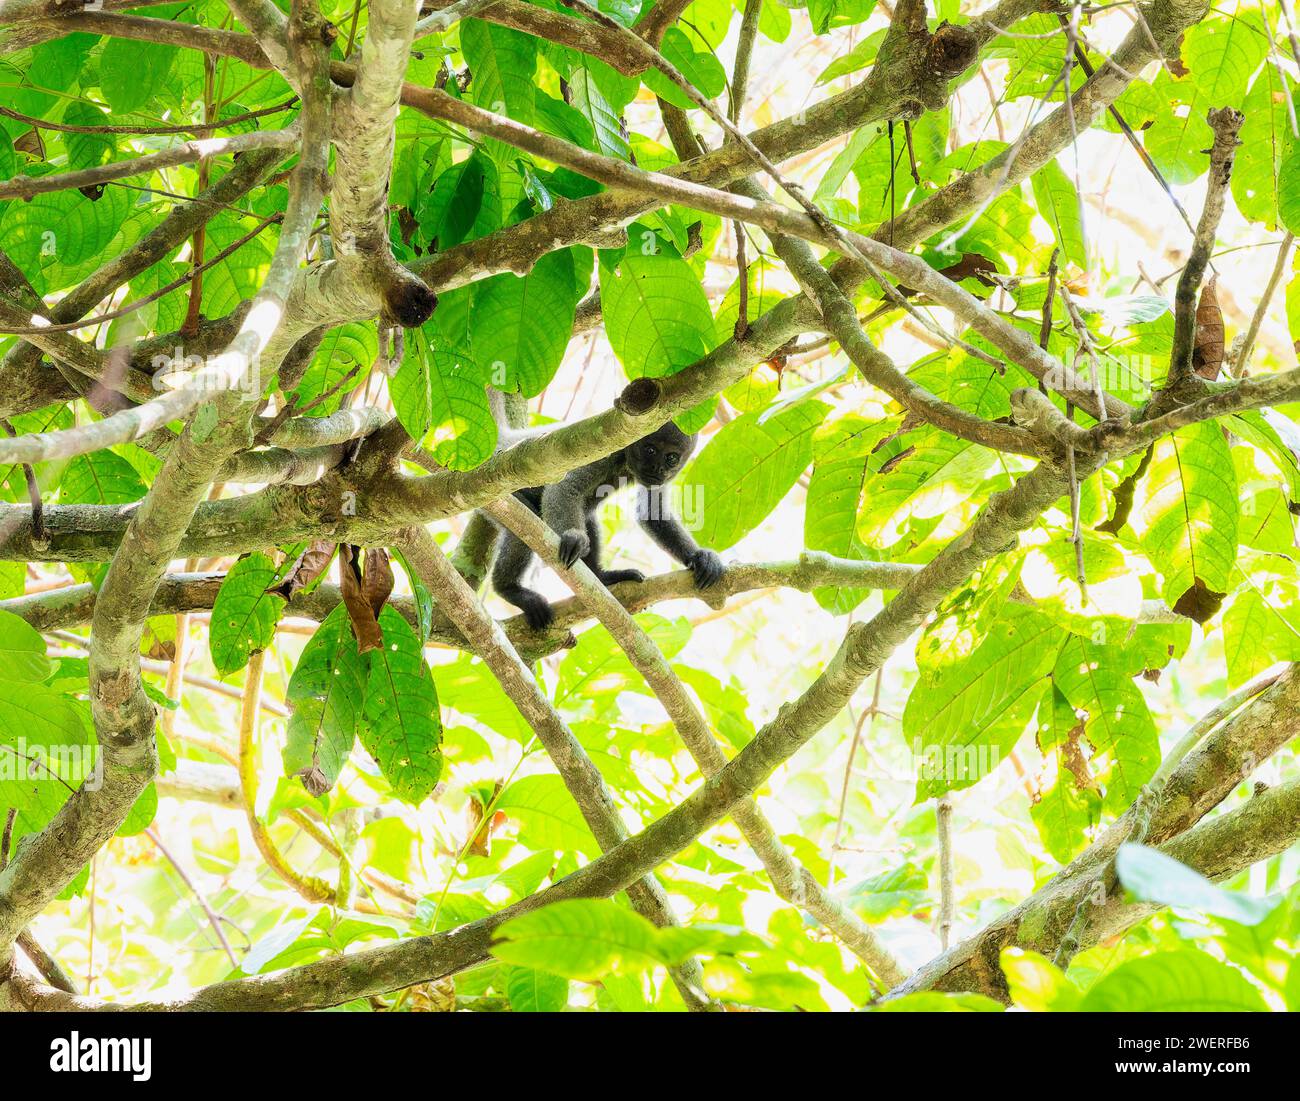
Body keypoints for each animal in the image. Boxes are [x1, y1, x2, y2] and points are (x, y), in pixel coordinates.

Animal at [490, 421, 724, 630]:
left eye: (671, 458)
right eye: (650, 449)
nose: (658, 468)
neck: (625, 461)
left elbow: (653, 515)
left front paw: (699, 557)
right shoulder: (604, 449)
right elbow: (566, 488)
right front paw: (574, 537)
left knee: (587, 515)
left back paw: (602, 577)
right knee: (525, 523)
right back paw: (509, 589)